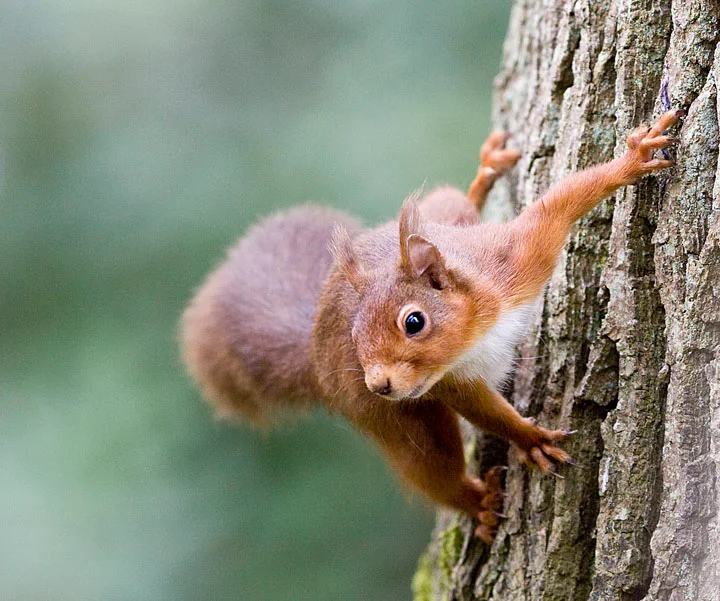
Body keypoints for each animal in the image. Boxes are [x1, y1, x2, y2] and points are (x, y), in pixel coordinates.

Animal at [181, 109, 682, 542]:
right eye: (354, 337)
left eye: (414, 321)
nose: (378, 384)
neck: (477, 331)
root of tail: (315, 360)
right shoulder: (450, 383)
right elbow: (485, 411)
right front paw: (530, 439)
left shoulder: (516, 259)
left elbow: (561, 203)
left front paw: (632, 161)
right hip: (392, 419)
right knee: (430, 467)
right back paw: (477, 503)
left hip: (447, 216)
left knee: (457, 203)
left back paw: (485, 172)